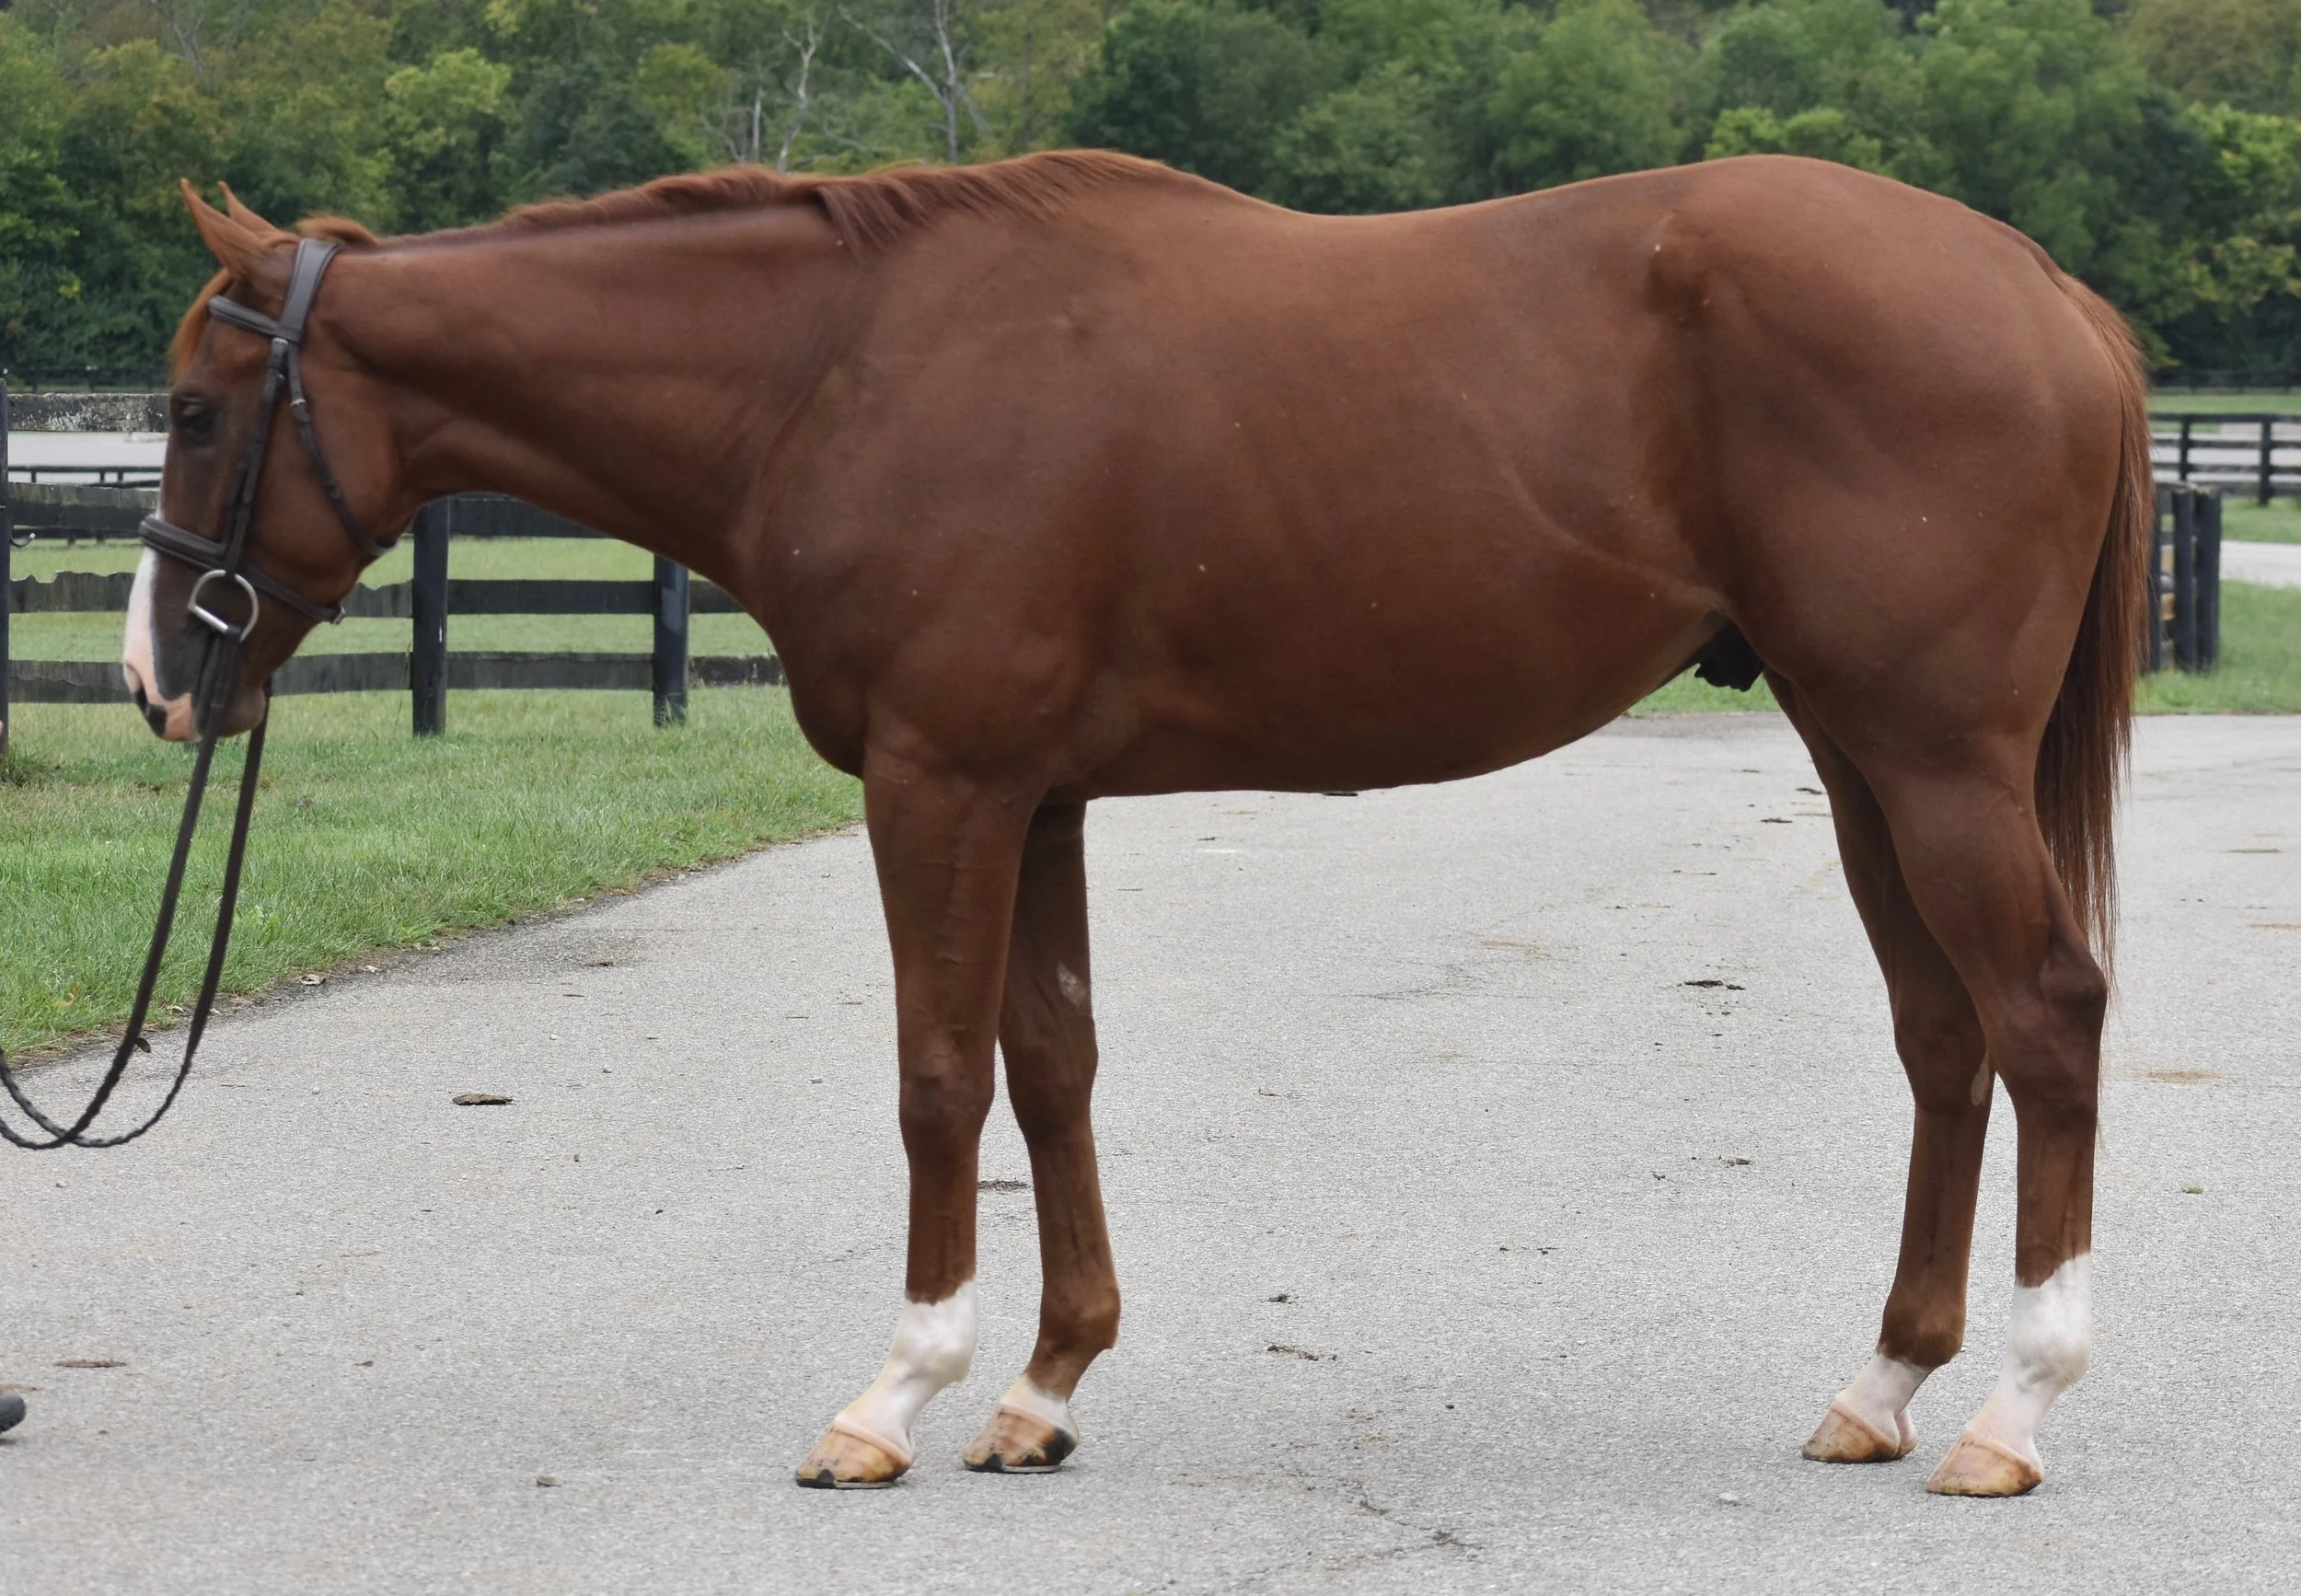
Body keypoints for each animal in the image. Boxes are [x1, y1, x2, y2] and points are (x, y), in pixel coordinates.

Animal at [128, 149, 2149, 1497]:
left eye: (199, 408)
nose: (162, 677)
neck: (836, 366)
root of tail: (2048, 290)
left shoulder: (940, 782)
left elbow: (940, 1074)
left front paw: (895, 1392)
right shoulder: (1033, 798)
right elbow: (1050, 1063)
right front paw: (1044, 1384)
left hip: (1936, 759)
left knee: (2044, 1016)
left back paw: (2015, 1406)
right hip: (1863, 757)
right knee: (1945, 1036)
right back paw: (1881, 1385)